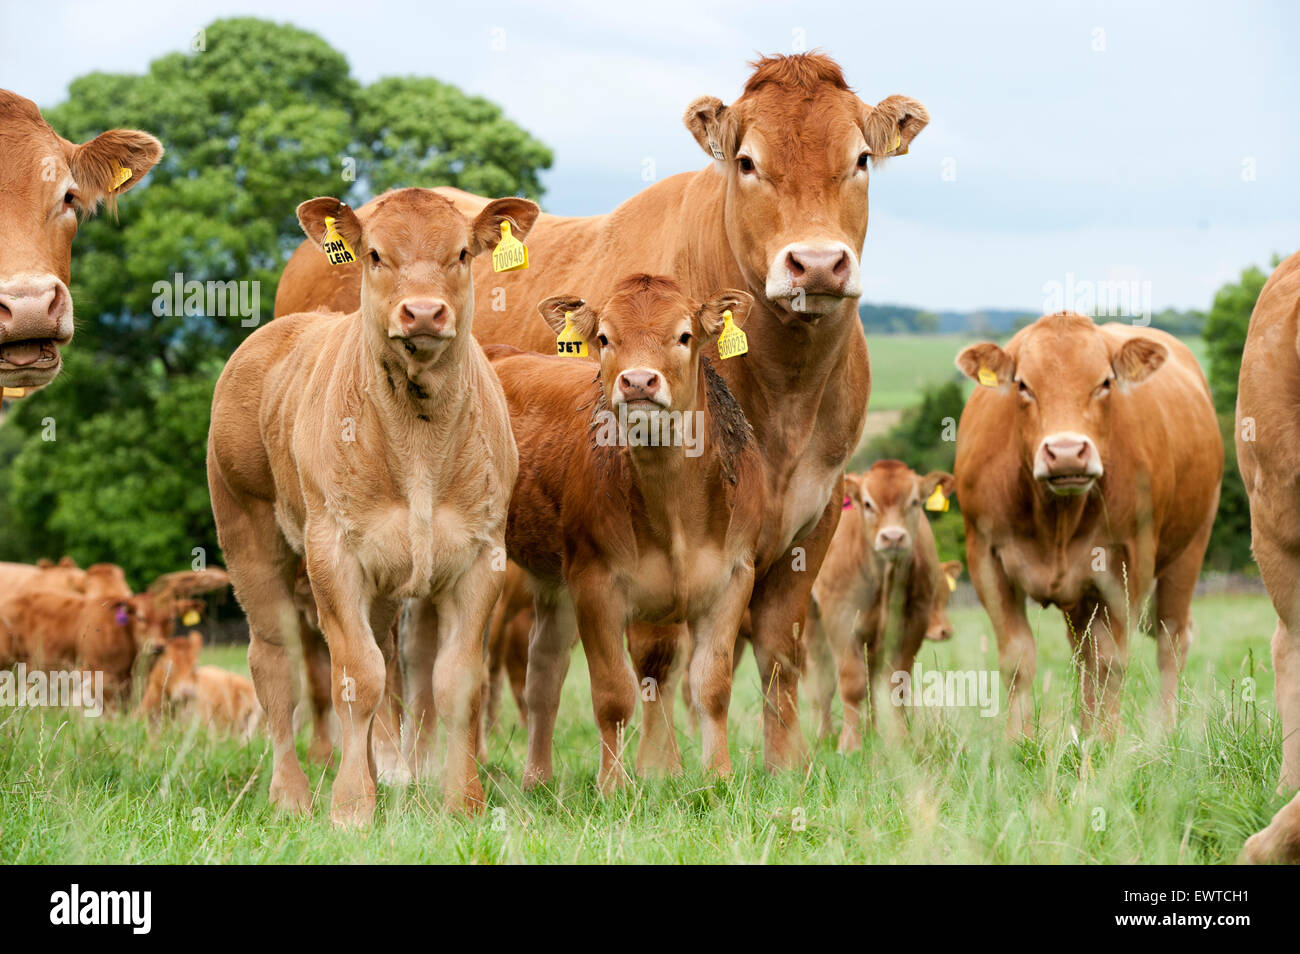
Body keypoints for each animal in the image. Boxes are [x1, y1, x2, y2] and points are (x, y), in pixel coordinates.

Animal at [208, 188, 537, 823]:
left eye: (463, 253)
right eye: (375, 254)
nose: (425, 312)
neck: (418, 440)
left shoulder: (481, 556)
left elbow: (455, 681)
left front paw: (463, 801)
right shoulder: (332, 553)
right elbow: (356, 677)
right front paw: (351, 807)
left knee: (383, 655)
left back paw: (387, 772)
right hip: (248, 536)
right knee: (276, 663)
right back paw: (290, 793)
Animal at [486, 275, 764, 789]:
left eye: (684, 335)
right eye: (604, 337)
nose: (637, 381)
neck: (676, 512)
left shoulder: (735, 577)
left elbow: (712, 686)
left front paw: (719, 776)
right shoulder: (595, 584)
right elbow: (613, 693)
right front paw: (612, 786)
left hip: (551, 580)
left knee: (543, 674)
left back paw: (537, 779)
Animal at [804, 462, 955, 749]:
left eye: (914, 501)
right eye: (867, 503)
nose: (893, 537)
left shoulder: (914, 621)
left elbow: (896, 684)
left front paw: (899, 739)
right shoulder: (840, 616)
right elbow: (851, 683)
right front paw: (849, 743)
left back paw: (872, 730)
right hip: (813, 623)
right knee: (822, 680)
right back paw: (823, 734)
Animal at [954, 312, 1222, 738]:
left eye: (1104, 383)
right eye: (1024, 385)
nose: (1066, 452)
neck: (1057, 519)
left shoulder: (1130, 561)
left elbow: (1110, 661)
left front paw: (1107, 740)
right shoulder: (985, 558)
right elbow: (1018, 659)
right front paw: (1018, 740)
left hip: (1190, 547)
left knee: (1171, 640)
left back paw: (1162, 729)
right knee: (1083, 650)